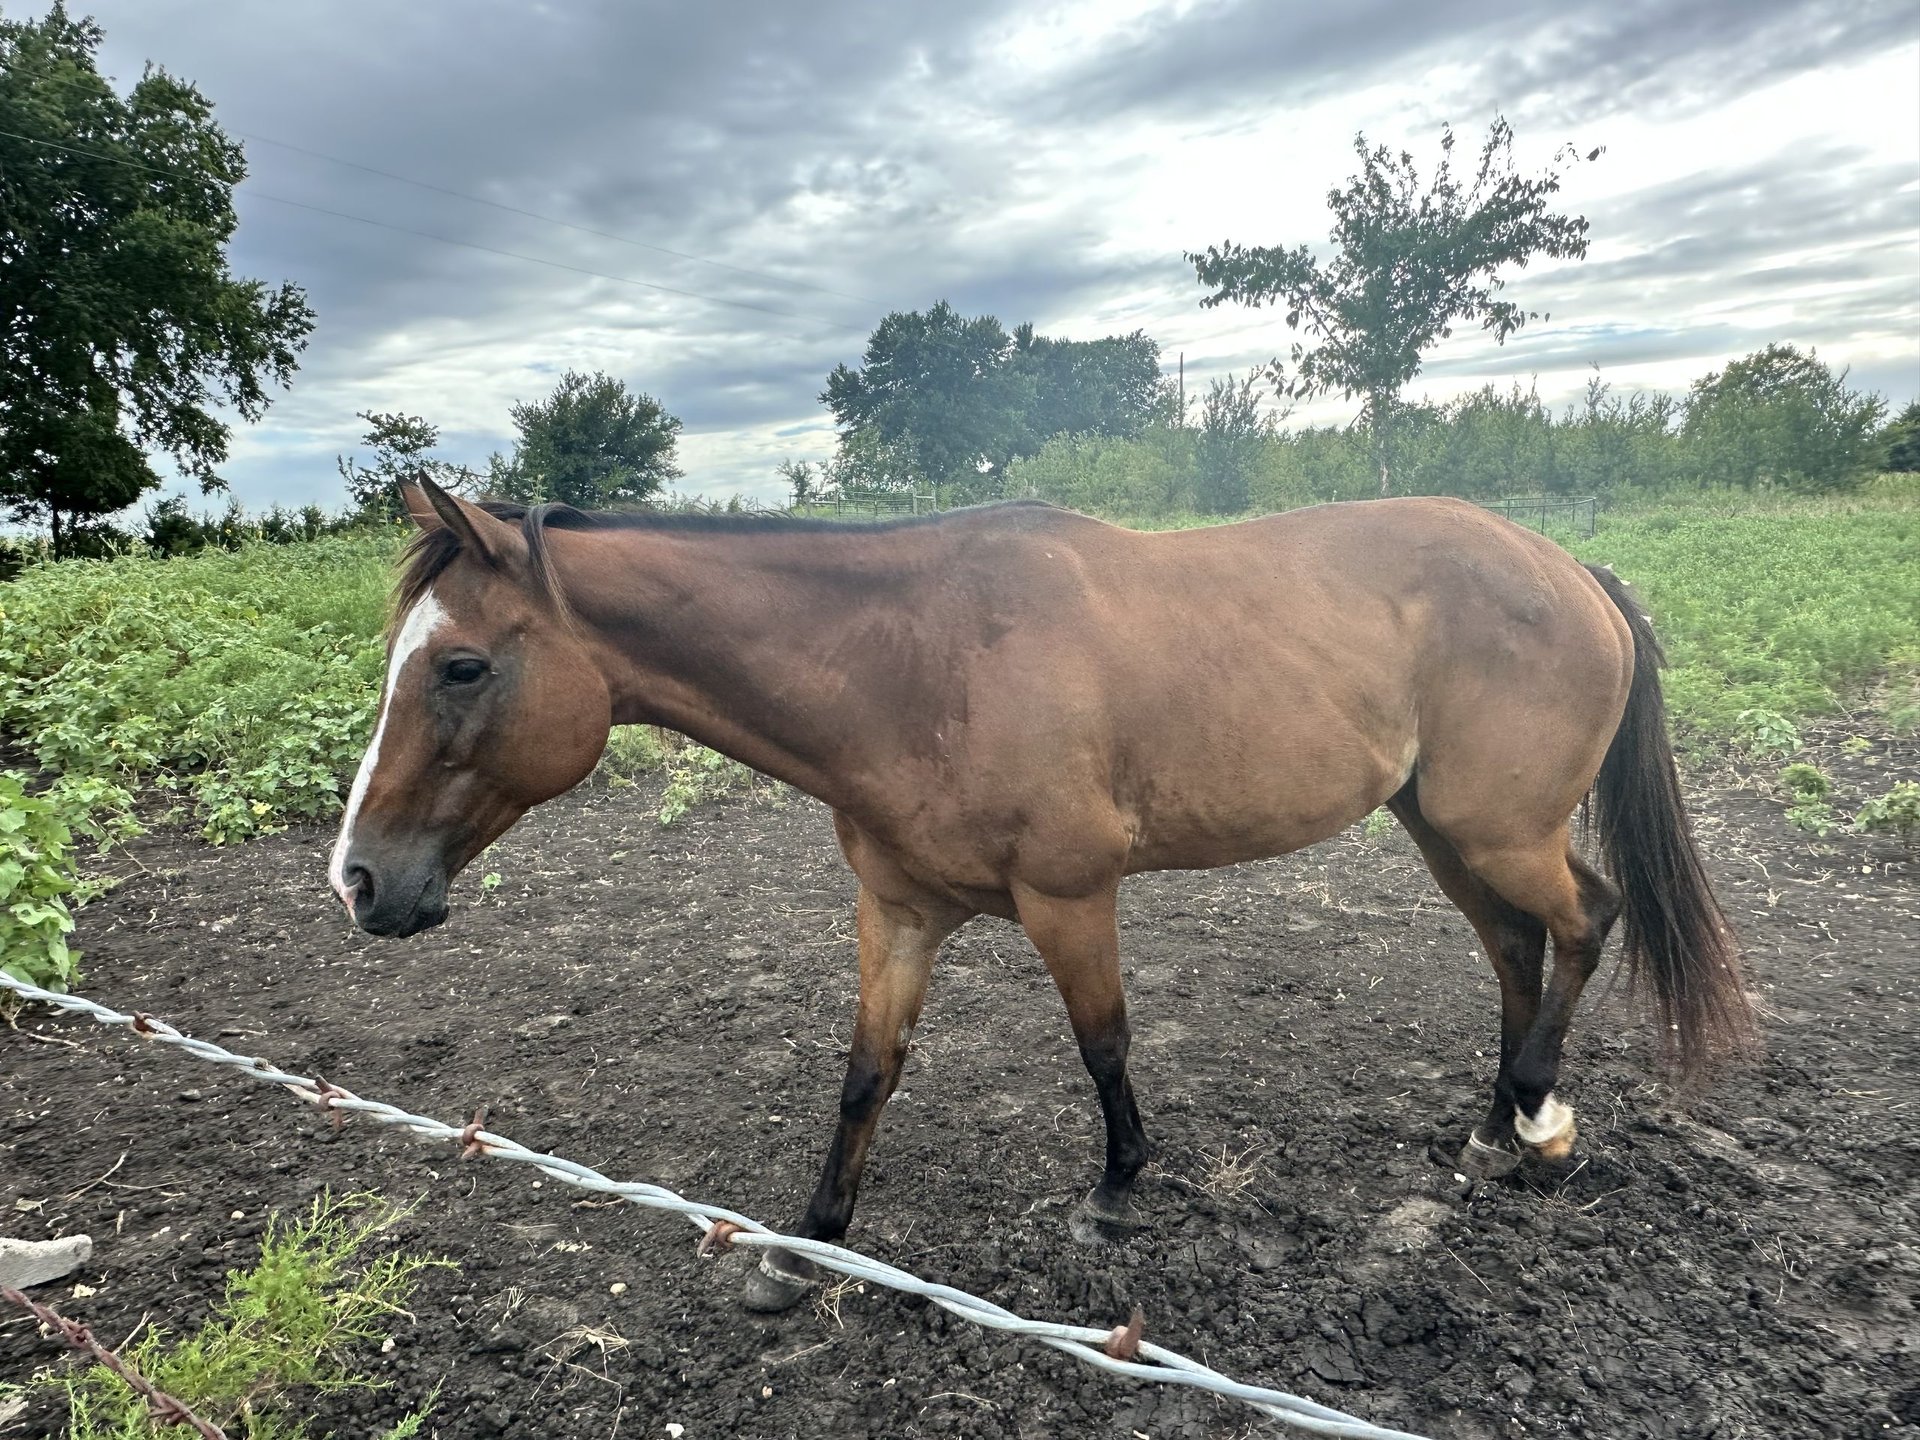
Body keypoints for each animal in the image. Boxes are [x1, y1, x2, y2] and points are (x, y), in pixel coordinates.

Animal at [329, 479, 1751, 1313]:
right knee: (1520, 948)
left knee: (1584, 923)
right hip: (1445, 829)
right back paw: (1489, 1128)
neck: (917, 663)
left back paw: (1540, 1124)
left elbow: (1103, 1042)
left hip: (1494, 830)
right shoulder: (897, 913)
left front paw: (1119, 1191)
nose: (359, 880)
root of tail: (1571, 571)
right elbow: (865, 1076)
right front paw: (806, 1248)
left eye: (461, 666)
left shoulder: (1073, 898)